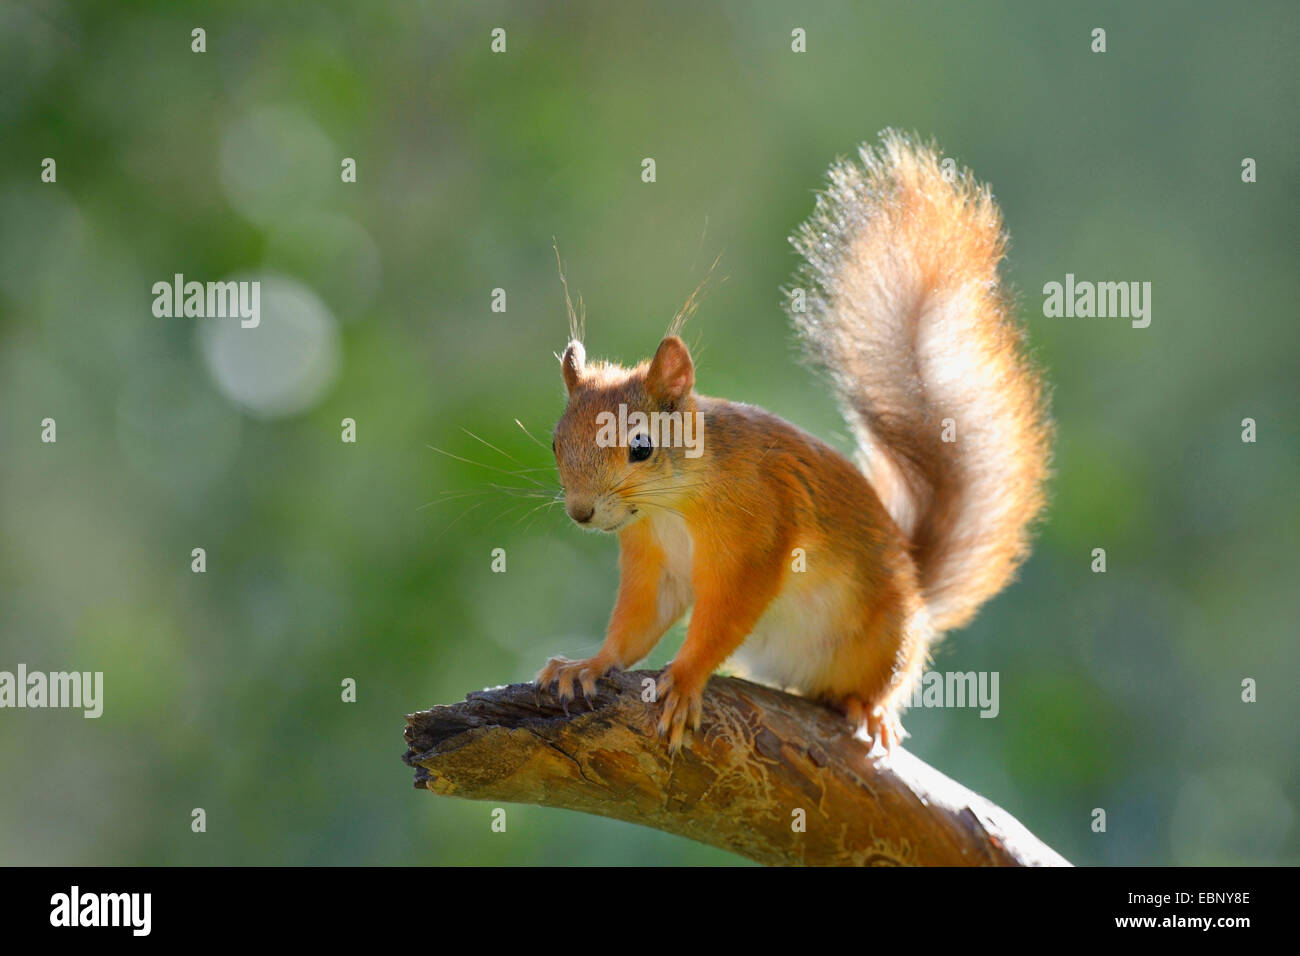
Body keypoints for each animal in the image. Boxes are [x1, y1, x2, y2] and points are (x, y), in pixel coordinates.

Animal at [537, 130, 1052, 754]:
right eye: (556, 443)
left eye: (640, 446)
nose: (581, 513)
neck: (674, 507)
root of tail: (920, 591)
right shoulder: (651, 560)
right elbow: (635, 625)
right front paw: (587, 664)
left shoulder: (756, 535)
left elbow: (724, 618)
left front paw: (684, 680)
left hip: (888, 638)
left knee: (882, 682)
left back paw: (871, 710)